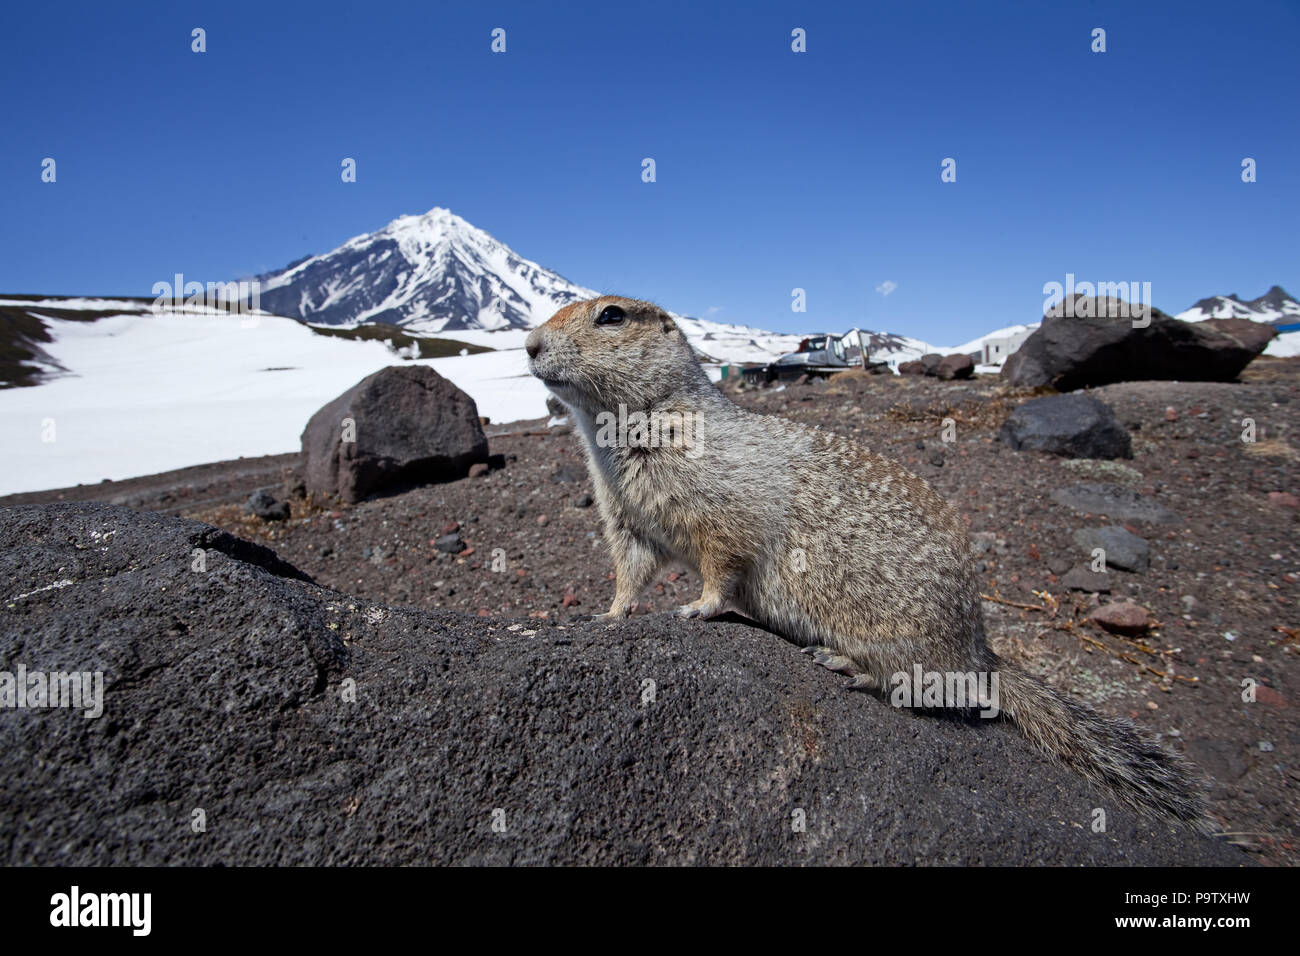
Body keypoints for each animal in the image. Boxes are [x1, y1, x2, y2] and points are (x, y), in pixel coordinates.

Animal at [525, 295, 1210, 830]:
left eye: (610, 315)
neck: (626, 430)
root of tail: (982, 652)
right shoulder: (621, 511)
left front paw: (697, 606)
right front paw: (608, 614)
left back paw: (850, 665)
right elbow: (629, 566)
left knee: (937, 690)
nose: (529, 345)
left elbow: (724, 556)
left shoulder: (720, 503)